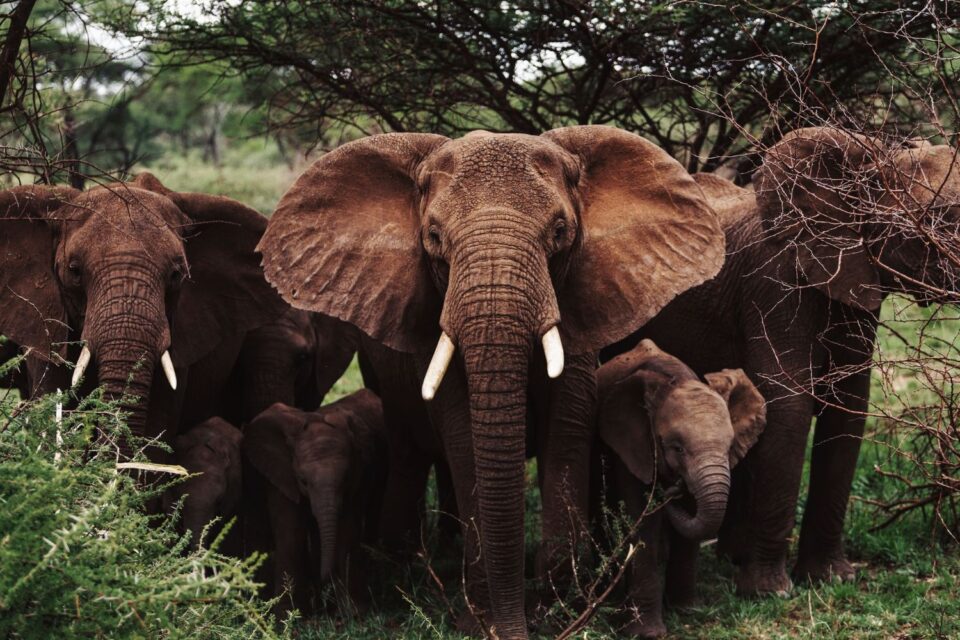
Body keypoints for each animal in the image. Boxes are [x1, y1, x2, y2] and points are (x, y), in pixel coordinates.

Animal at [242, 389, 386, 614]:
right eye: (303, 481)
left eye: (345, 478)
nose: (323, 577)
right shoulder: (281, 473)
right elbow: (291, 533)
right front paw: (287, 614)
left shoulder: (358, 474)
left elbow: (348, 532)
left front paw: (354, 612)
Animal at [595, 339, 766, 638]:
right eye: (677, 448)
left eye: (729, 447)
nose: (672, 490)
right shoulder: (632, 443)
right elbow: (643, 518)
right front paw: (647, 633)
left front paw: (687, 610)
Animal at [603, 127, 960, 596]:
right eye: (940, 217)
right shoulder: (774, 284)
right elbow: (790, 403)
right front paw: (769, 591)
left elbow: (847, 406)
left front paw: (831, 578)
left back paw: (731, 554)